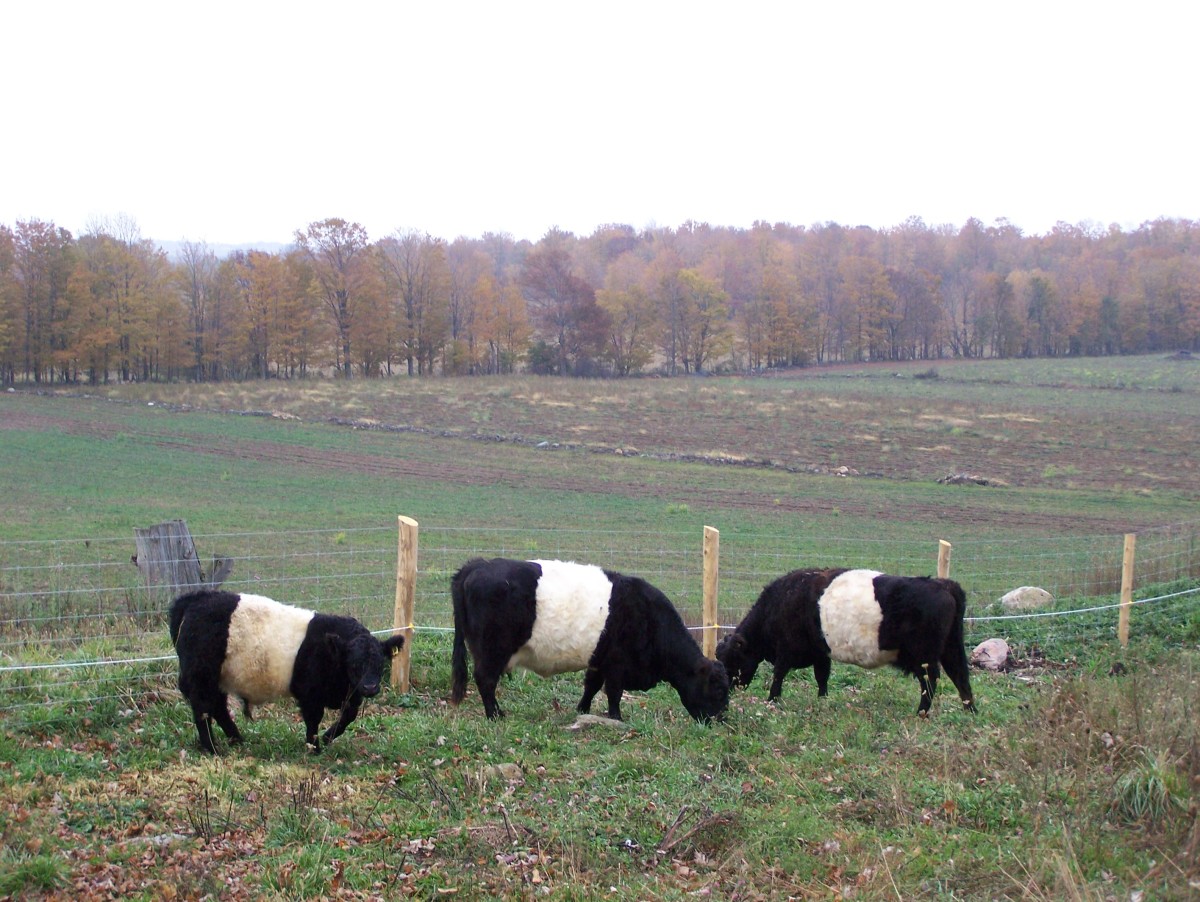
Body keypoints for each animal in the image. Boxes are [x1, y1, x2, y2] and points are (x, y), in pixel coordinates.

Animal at [168, 589, 405, 753]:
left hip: (217, 678)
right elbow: (313, 720)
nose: (370, 687)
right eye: (354, 664)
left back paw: (237, 740)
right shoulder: (311, 694)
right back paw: (213, 748)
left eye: (380, 663)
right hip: (201, 675)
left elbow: (348, 717)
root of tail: (196, 599)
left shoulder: (352, 694)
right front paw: (314, 748)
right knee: (203, 709)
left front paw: (327, 738)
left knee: (217, 707)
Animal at [449, 557, 729, 723]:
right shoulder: (617, 663)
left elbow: (591, 686)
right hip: (492, 649)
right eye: (717, 688)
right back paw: (495, 715)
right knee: (485, 679)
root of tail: (477, 565)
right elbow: (613, 692)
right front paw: (616, 718)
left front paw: (582, 710)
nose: (721, 720)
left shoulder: (599, 660)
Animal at [716, 568, 975, 716]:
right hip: (951, 648)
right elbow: (822, 677)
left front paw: (772, 701)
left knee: (930, 682)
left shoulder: (786, 650)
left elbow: (778, 676)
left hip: (924, 657)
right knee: (960, 676)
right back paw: (970, 711)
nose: (728, 689)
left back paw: (921, 713)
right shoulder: (820, 653)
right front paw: (822, 701)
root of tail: (942, 584)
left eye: (731, 660)